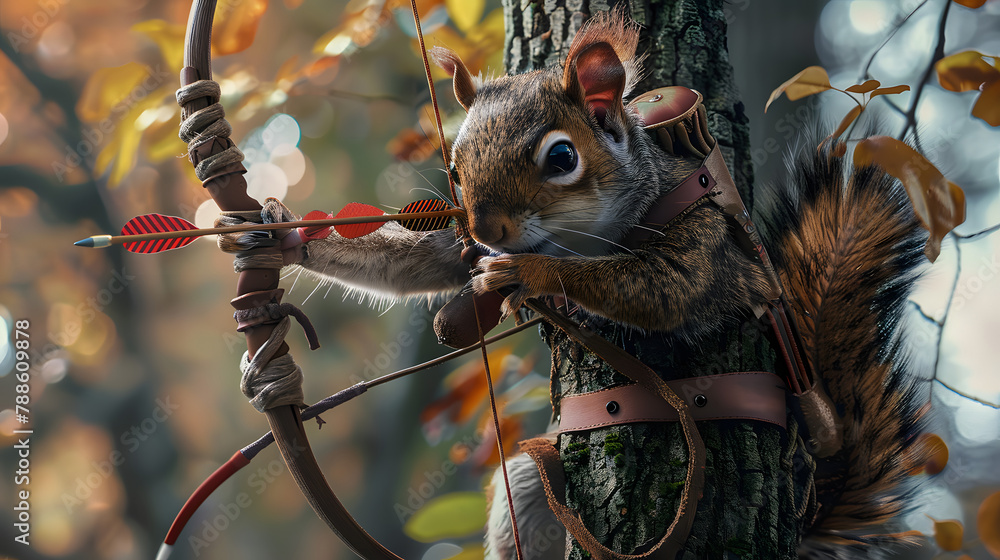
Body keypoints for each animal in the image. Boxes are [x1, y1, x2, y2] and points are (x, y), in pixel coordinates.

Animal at [284, 9, 928, 560]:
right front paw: (282, 235)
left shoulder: (698, 230)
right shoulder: (463, 248)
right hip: (529, 477)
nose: (486, 229)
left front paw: (532, 276)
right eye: (454, 170)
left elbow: (667, 288)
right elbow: (420, 264)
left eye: (562, 157)